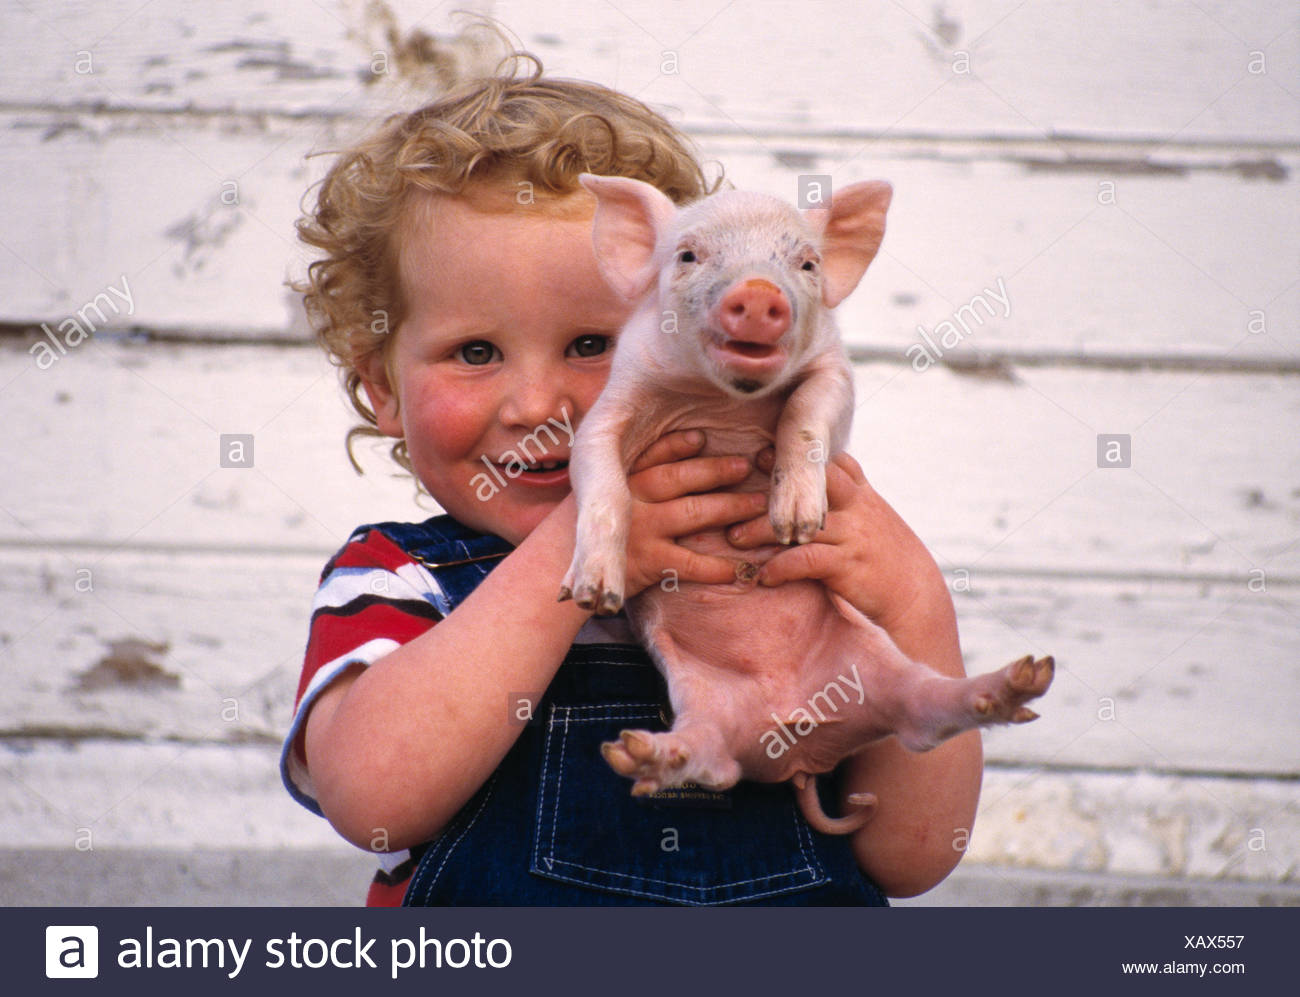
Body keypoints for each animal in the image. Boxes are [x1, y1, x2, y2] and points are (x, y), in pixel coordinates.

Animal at [558, 173, 1054, 833]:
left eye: (807, 264)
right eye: (688, 255)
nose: (759, 293)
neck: (725, 403)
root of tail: (795, 743)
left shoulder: (836, 373)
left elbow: (807, 410)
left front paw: (795, 527)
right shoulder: (611, 408)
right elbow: (599, 474)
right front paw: (590, 594)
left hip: (880, 671)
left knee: (926, 718)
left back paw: (1027, 676)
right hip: (704, 699)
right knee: (714, 764)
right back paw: (637, 754)